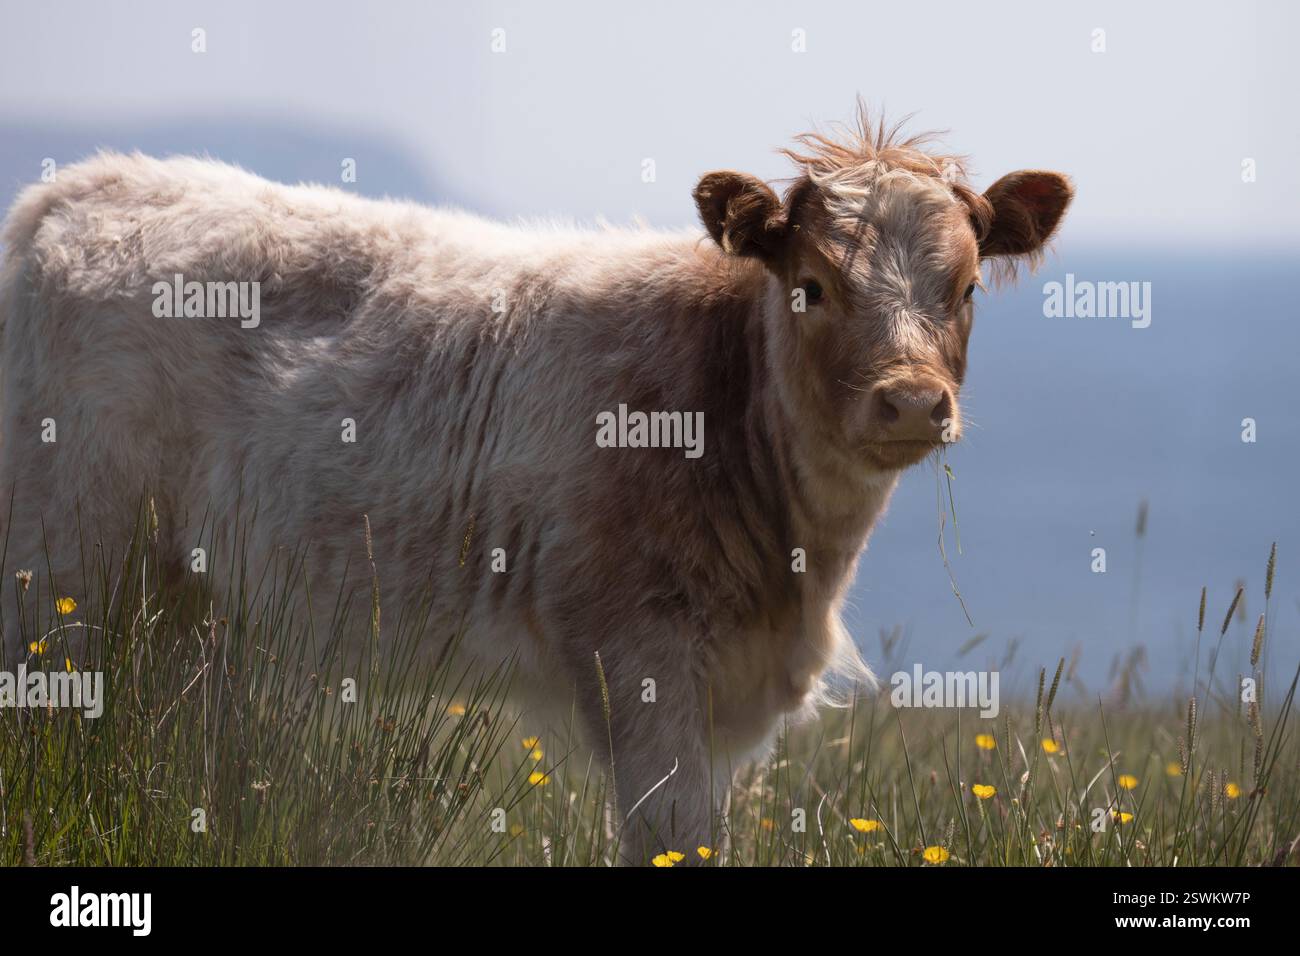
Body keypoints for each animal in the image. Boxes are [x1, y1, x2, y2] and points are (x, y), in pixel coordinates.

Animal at [0, 109, 1072, 863]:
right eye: (813, 286)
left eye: (965, 288)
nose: (911, 400)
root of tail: (83, 187)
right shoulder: (640, 656)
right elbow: (672, 839)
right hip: (64, 570)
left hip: (185, 607)